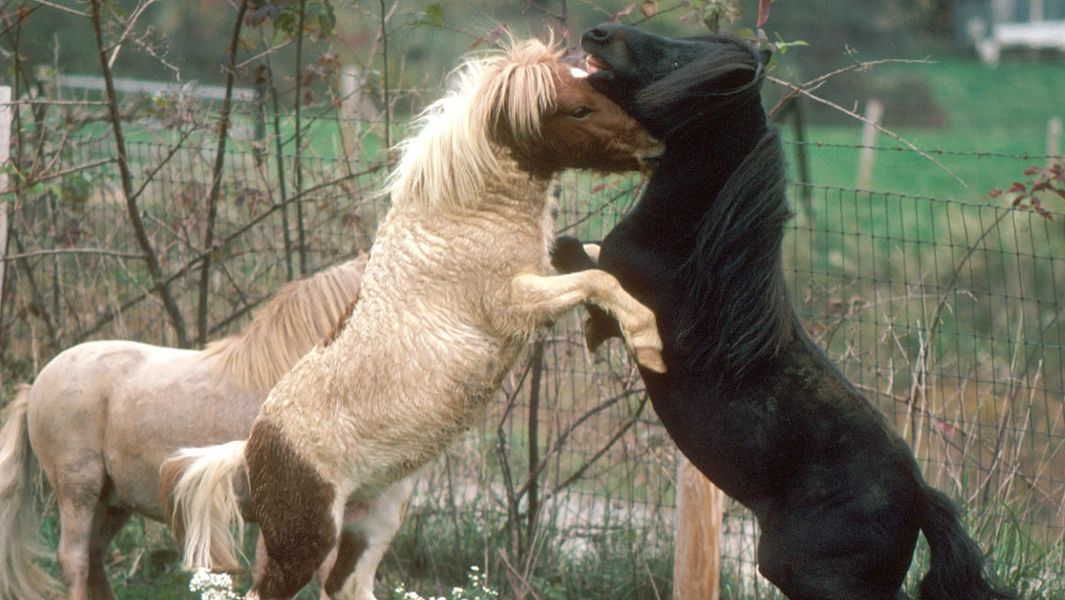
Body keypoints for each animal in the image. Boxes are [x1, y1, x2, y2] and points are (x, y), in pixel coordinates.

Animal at [161, 37, 666, 600]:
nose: (655, 148)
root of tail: (249, 448)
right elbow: (598, 280)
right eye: (578, 109)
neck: (461, 215)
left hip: (373, 521)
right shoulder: (515, 304)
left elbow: (594, 261)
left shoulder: (541, 274)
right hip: (303, 541)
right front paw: (648, 342)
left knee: (347, 585)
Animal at [550, 24, 1012, 600]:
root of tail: (922, 494)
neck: (688, 253)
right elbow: (580, 254)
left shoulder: (637, 317)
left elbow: (579, 262)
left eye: (682, 57)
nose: (598, 33)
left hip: (811, 574)